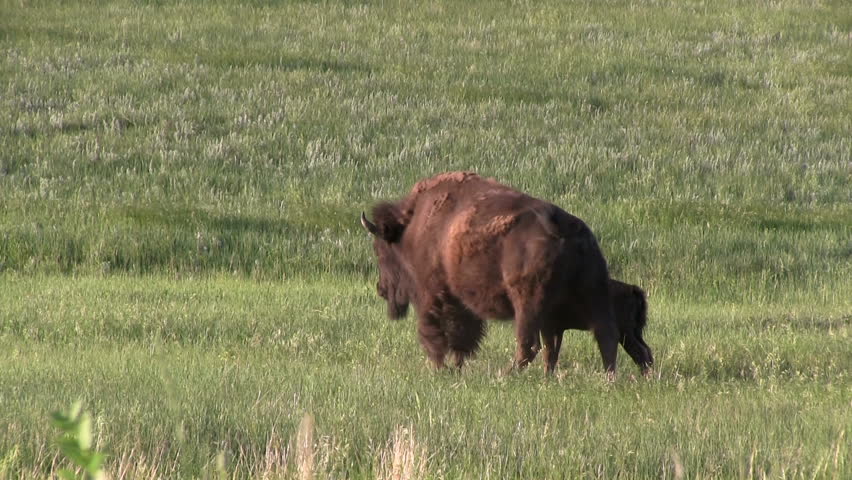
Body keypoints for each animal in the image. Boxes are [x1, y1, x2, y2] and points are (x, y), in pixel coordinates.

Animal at [361, 172, 652, 375]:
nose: (381, 289)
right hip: (592, 297)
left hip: (527, 304)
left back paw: (506, 375)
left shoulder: (435, 295)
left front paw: (440, 367)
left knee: (529, 345)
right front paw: (456, 366)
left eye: (380, 250)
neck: (414, 227)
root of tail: (567, 231)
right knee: (604, 337)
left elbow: (439, 332)